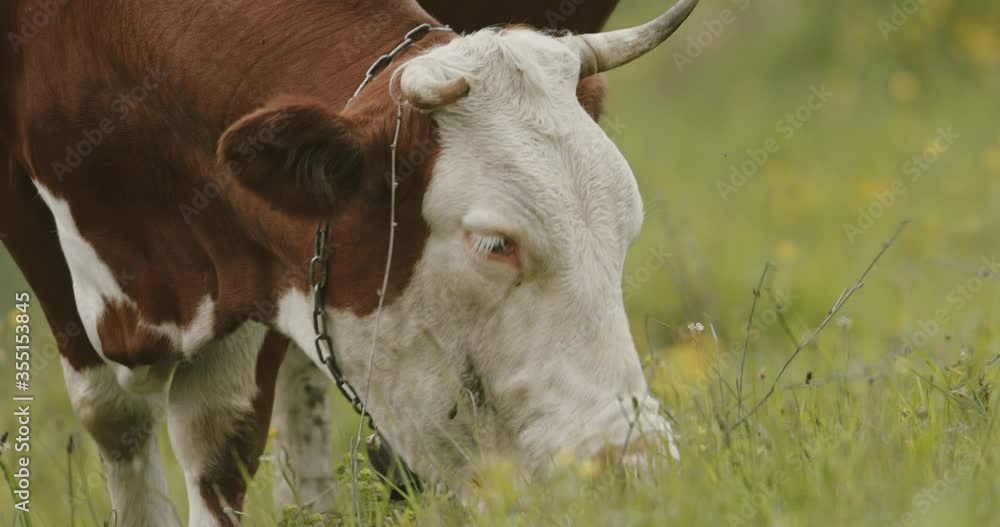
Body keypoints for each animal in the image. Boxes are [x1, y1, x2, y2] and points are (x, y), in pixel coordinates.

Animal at [1, 0, 699, 525]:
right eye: (495, 244)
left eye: (625, 229)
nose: (634, 470)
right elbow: (115, 420)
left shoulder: (255, 255)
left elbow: (219, 437)